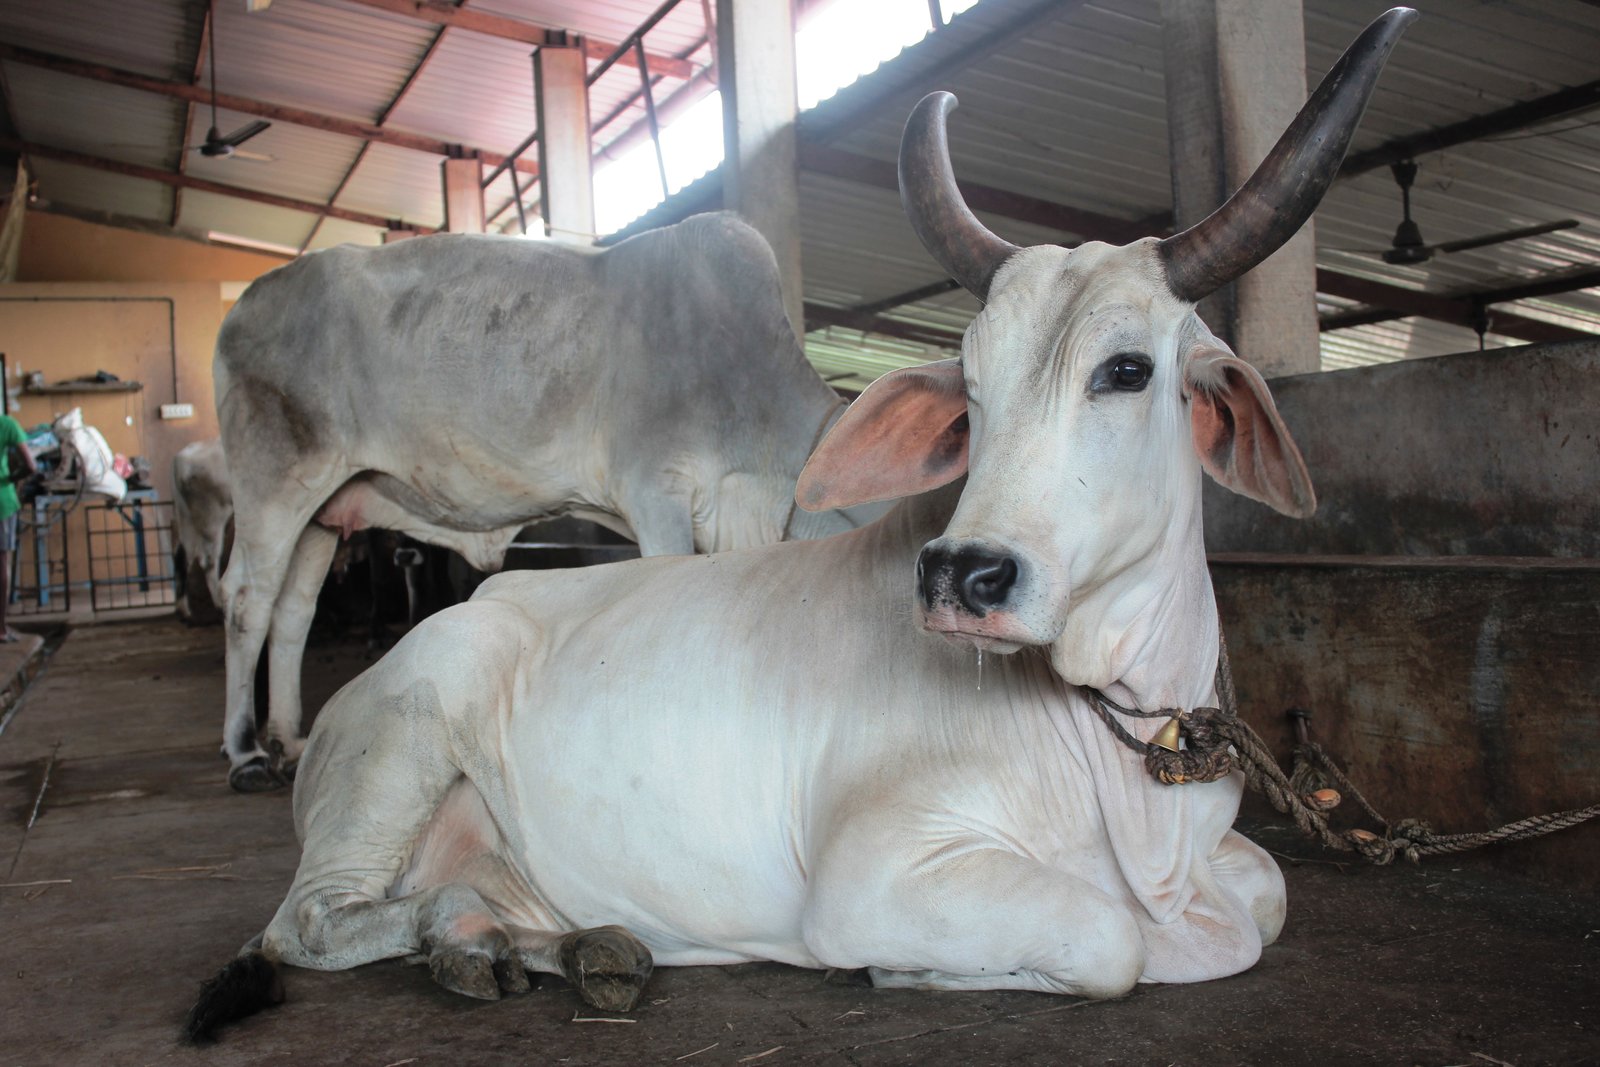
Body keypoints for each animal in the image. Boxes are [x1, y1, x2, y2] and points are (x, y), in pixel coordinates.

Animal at [214, 213, 877, 792]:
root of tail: (246, 302)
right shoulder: (656, 493)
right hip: (274, 478)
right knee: (248, 599)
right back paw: (246, 752)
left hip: (325, 507)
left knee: (293, 610)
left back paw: (287, 738)